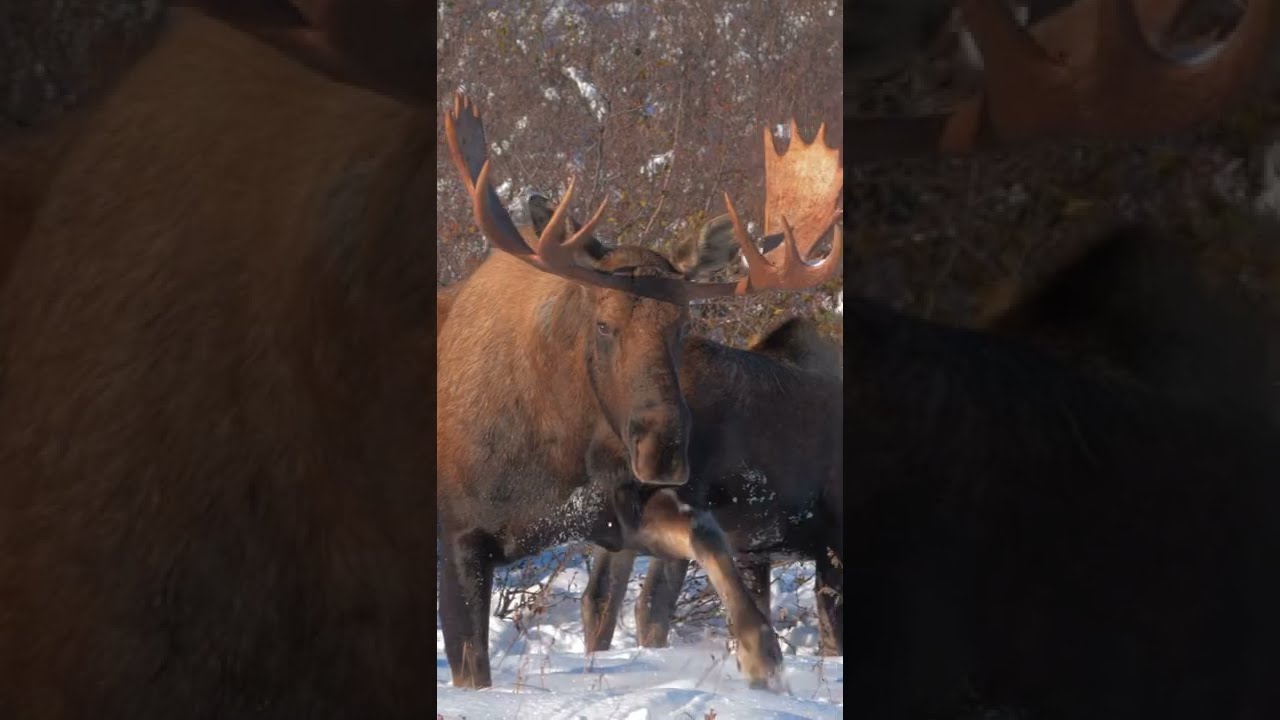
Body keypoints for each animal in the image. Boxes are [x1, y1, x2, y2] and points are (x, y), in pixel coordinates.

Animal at [435, 91, 843, 691]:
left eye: (681, 323)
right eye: (604, 324)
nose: (664, 447)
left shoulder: (616, 516)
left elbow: (702, 540)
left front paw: (760, 656)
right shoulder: (461, 539)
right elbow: (475, 672)